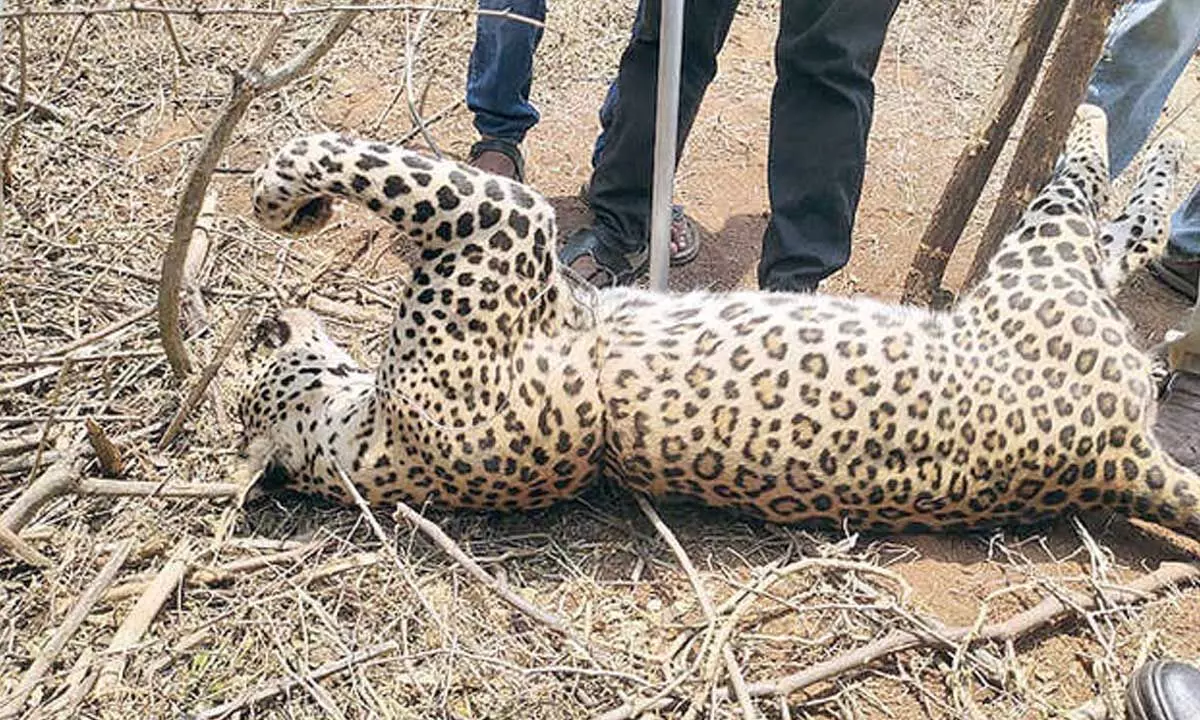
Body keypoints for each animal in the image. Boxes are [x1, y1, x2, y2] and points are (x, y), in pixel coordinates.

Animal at [238, 104, 1200, 539]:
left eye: (256, 365)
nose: (268, 322)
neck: (364, 447)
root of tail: (1112, 465)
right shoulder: (502, 220)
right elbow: (352, 159)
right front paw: (283, 198)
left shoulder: (500, 229)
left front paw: (286, 201)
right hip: (1038, 273)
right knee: (1112, 212)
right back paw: (1126, 128)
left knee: (1120, 231)